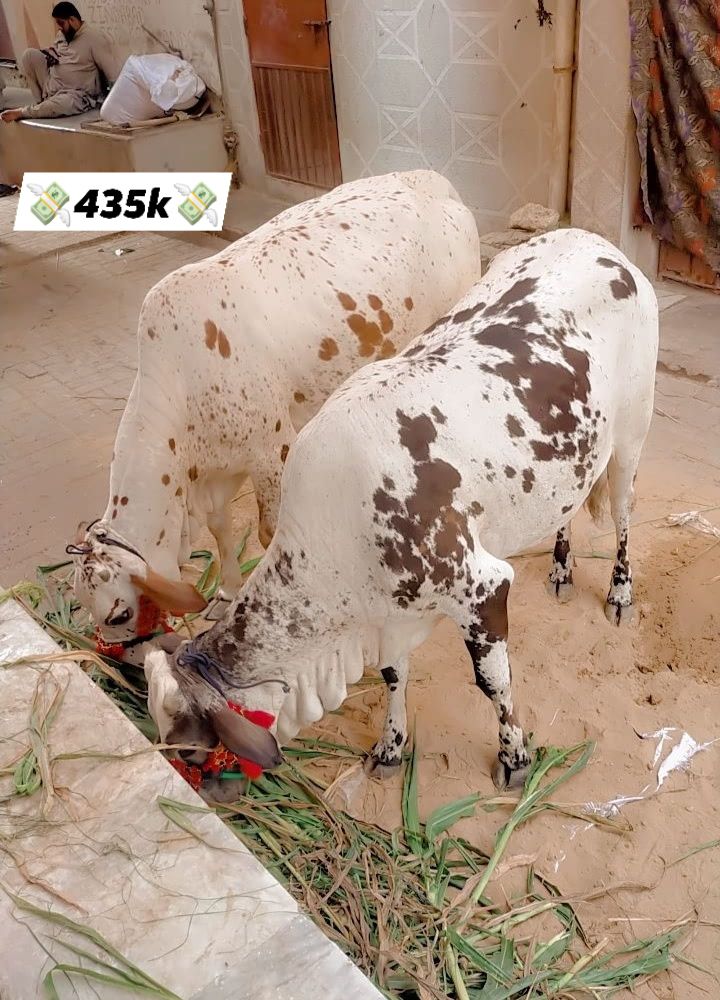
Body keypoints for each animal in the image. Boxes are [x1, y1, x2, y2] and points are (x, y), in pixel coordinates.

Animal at [69, 170, 480, 661]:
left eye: (119, 613)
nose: (119, 658)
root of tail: (433, 179)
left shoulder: (272, 450)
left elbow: (268, 534)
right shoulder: (218, 471)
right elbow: (221, 530)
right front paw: (227, 591)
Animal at [143, 228, 659, 790]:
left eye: (191, 751)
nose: (202, 790)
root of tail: (595, 242)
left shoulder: (482, 589)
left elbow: (493, 683)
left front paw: (515, 757)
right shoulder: (388, 617)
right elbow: (394, 673)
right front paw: (390, 747)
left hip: (632, 437)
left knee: (623, 515)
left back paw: (619, 591)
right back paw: (562, 569)